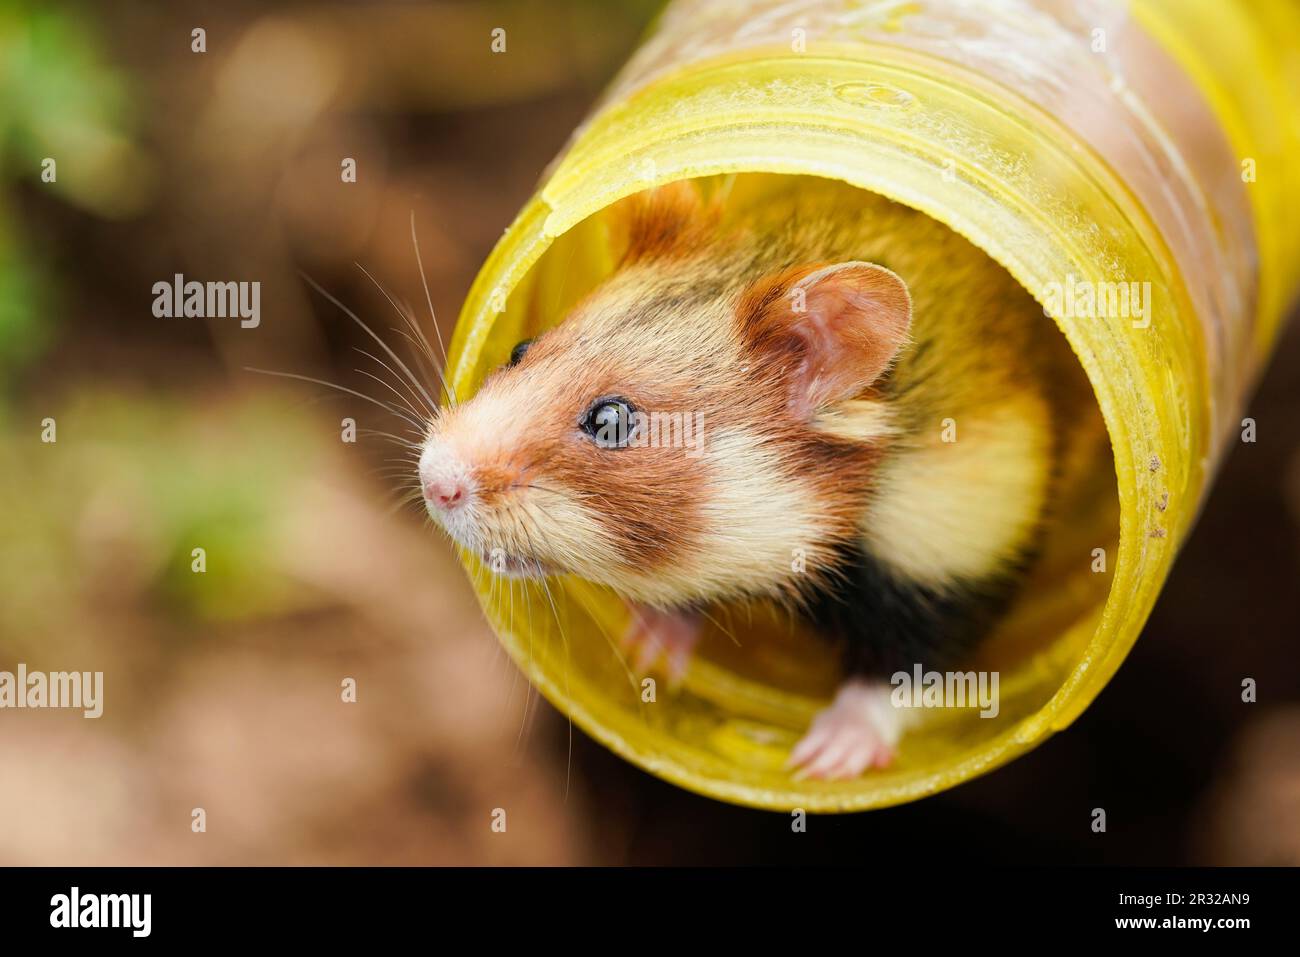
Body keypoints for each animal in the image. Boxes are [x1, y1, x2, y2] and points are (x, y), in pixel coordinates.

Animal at [418, 177, 1071, 780]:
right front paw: (647, 651)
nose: (431, 481)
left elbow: (907, 669)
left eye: (611, 420)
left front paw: (821, 760)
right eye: (519, 349)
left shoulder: (949, 561)